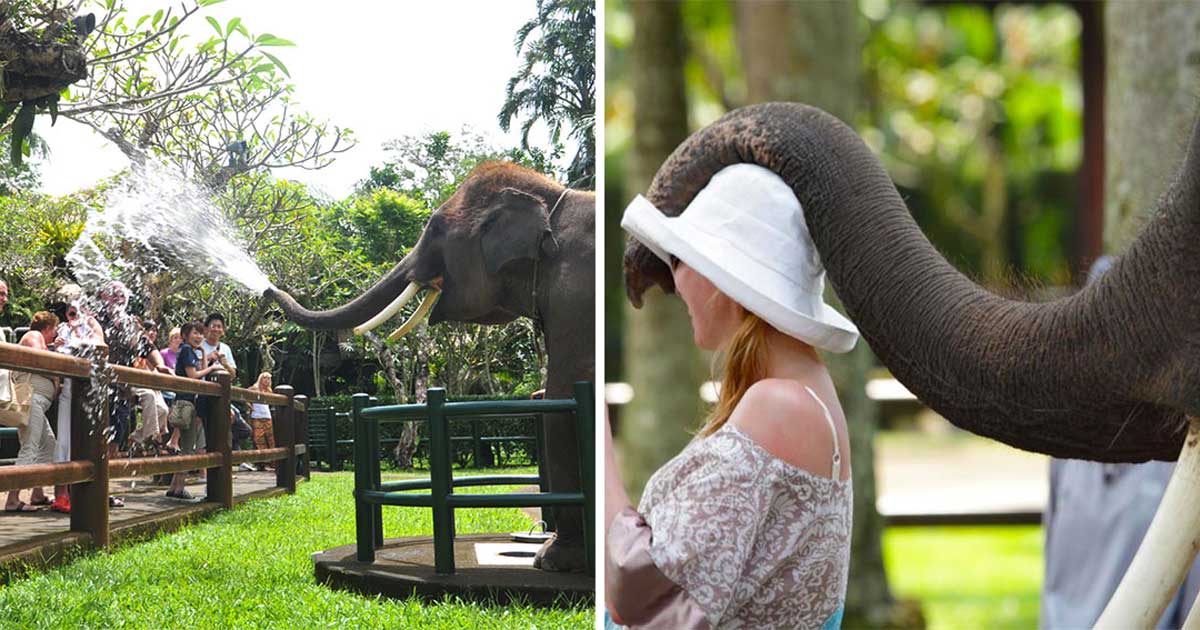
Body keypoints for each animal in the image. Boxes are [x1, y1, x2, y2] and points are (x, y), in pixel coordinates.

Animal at [266, 161, 595, 573]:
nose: (267, 288)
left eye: (435, 228)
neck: (552, 198)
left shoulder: (574, 299)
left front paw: (550, 561)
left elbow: (561, 398)